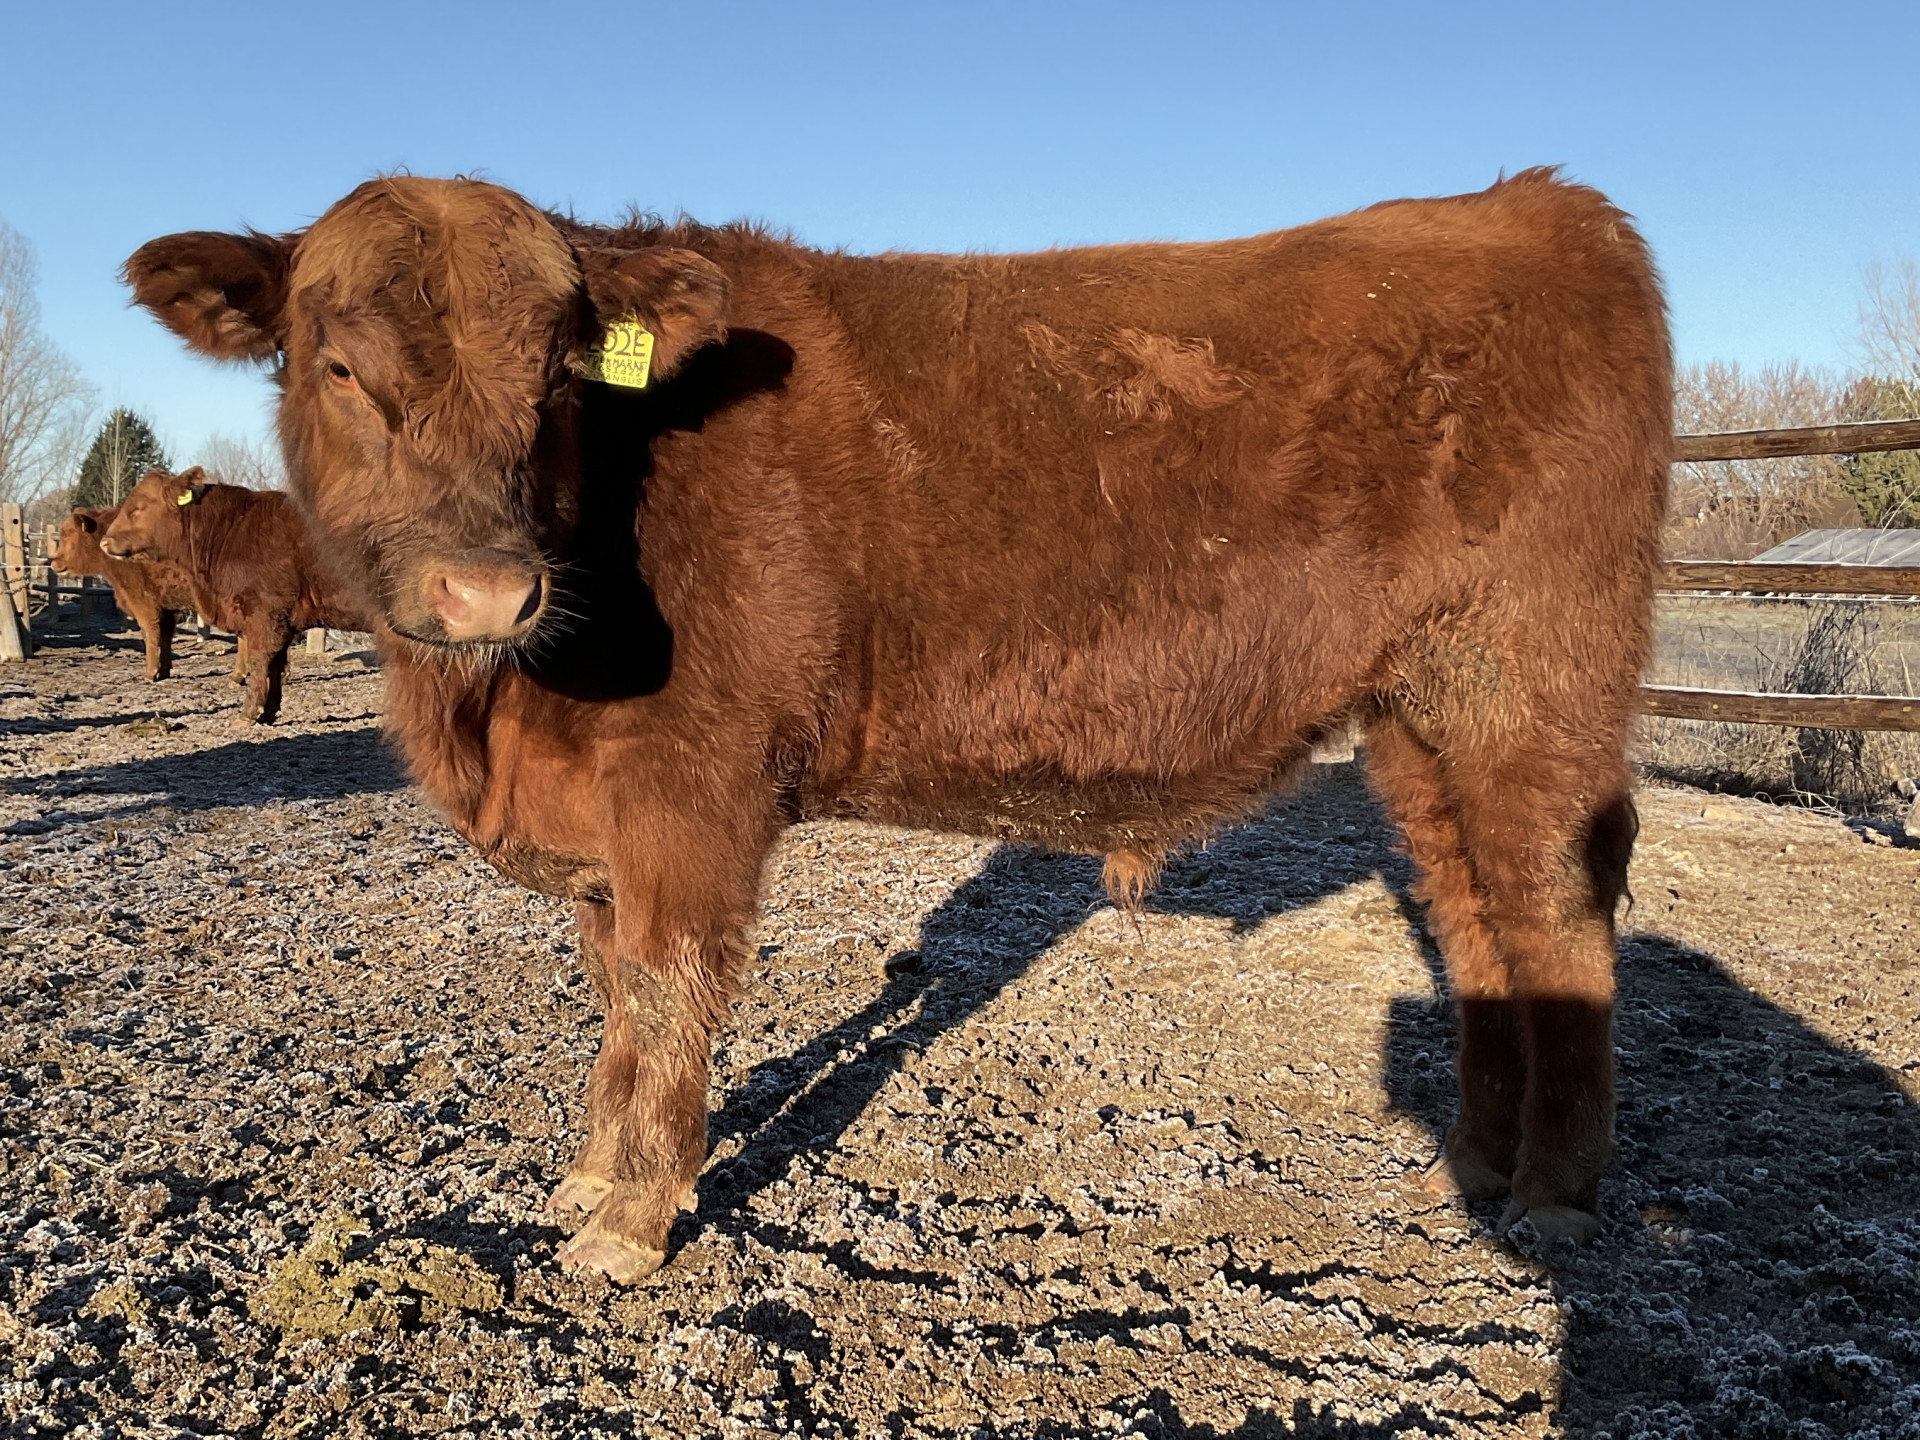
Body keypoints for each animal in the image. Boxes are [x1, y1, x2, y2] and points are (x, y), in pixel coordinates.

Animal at [100, 468, 366, 725]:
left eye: (138, 507)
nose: (104, 542)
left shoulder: (264, 614)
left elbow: (259, 661)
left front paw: (247, 715)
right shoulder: (280, 621)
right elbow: (275, 666)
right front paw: (268, 714)